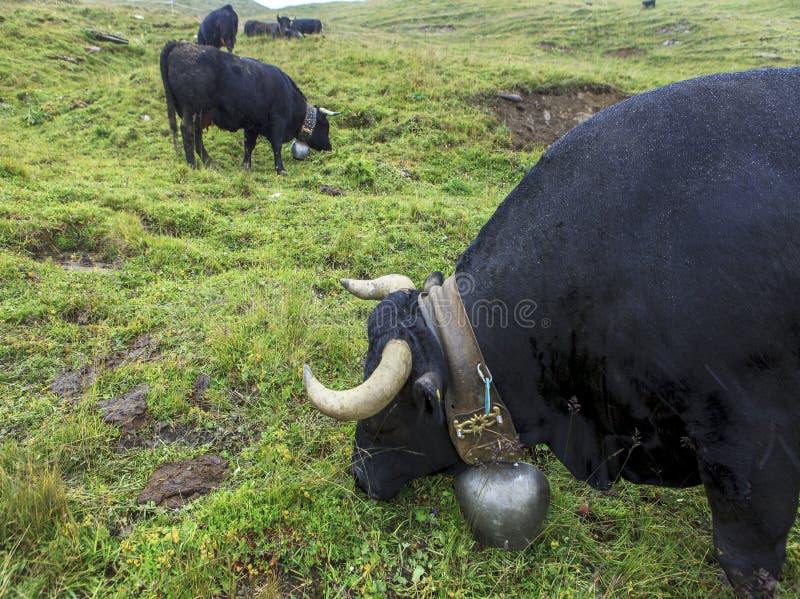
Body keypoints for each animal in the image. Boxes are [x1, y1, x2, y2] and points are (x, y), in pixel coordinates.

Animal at [159, 42, 336, 174]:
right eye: (325, 126)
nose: (329, 147)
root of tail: (179, 45)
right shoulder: (278, 121)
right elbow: (276, 145)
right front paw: (280, 169)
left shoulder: (252, 125)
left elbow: (248, 145)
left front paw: (246, 166)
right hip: (192, 109)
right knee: (187, 130)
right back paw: (192, 164)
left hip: (198, 114)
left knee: (196, 136)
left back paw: (209, 162)